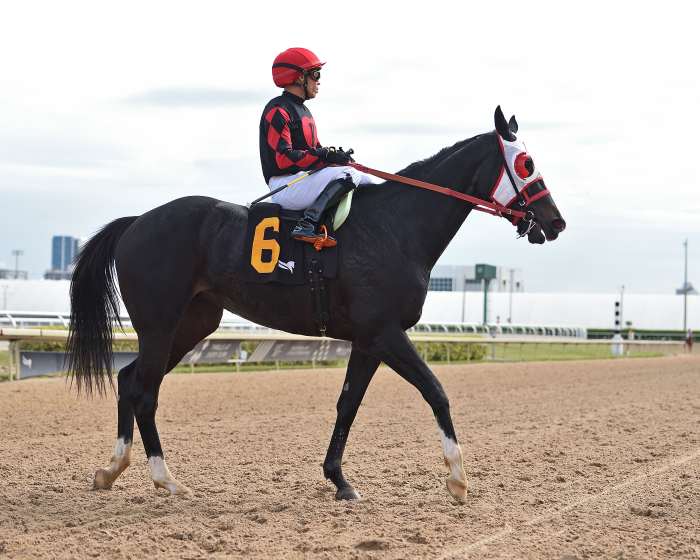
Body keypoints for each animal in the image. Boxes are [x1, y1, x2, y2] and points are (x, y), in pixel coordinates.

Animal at [67, 106, 566, 503]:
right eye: (526, 162)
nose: (555, 222)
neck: (395, 226)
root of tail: (137, 222)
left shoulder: (368, 341)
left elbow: (348, 406)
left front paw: (340, 480)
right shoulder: (386, 332)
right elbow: (436, 392)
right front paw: (459, 480)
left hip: (192, 324)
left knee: (130, 380)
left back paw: (111, 470)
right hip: (160, 324)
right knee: (144, 390)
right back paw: (165, 479)